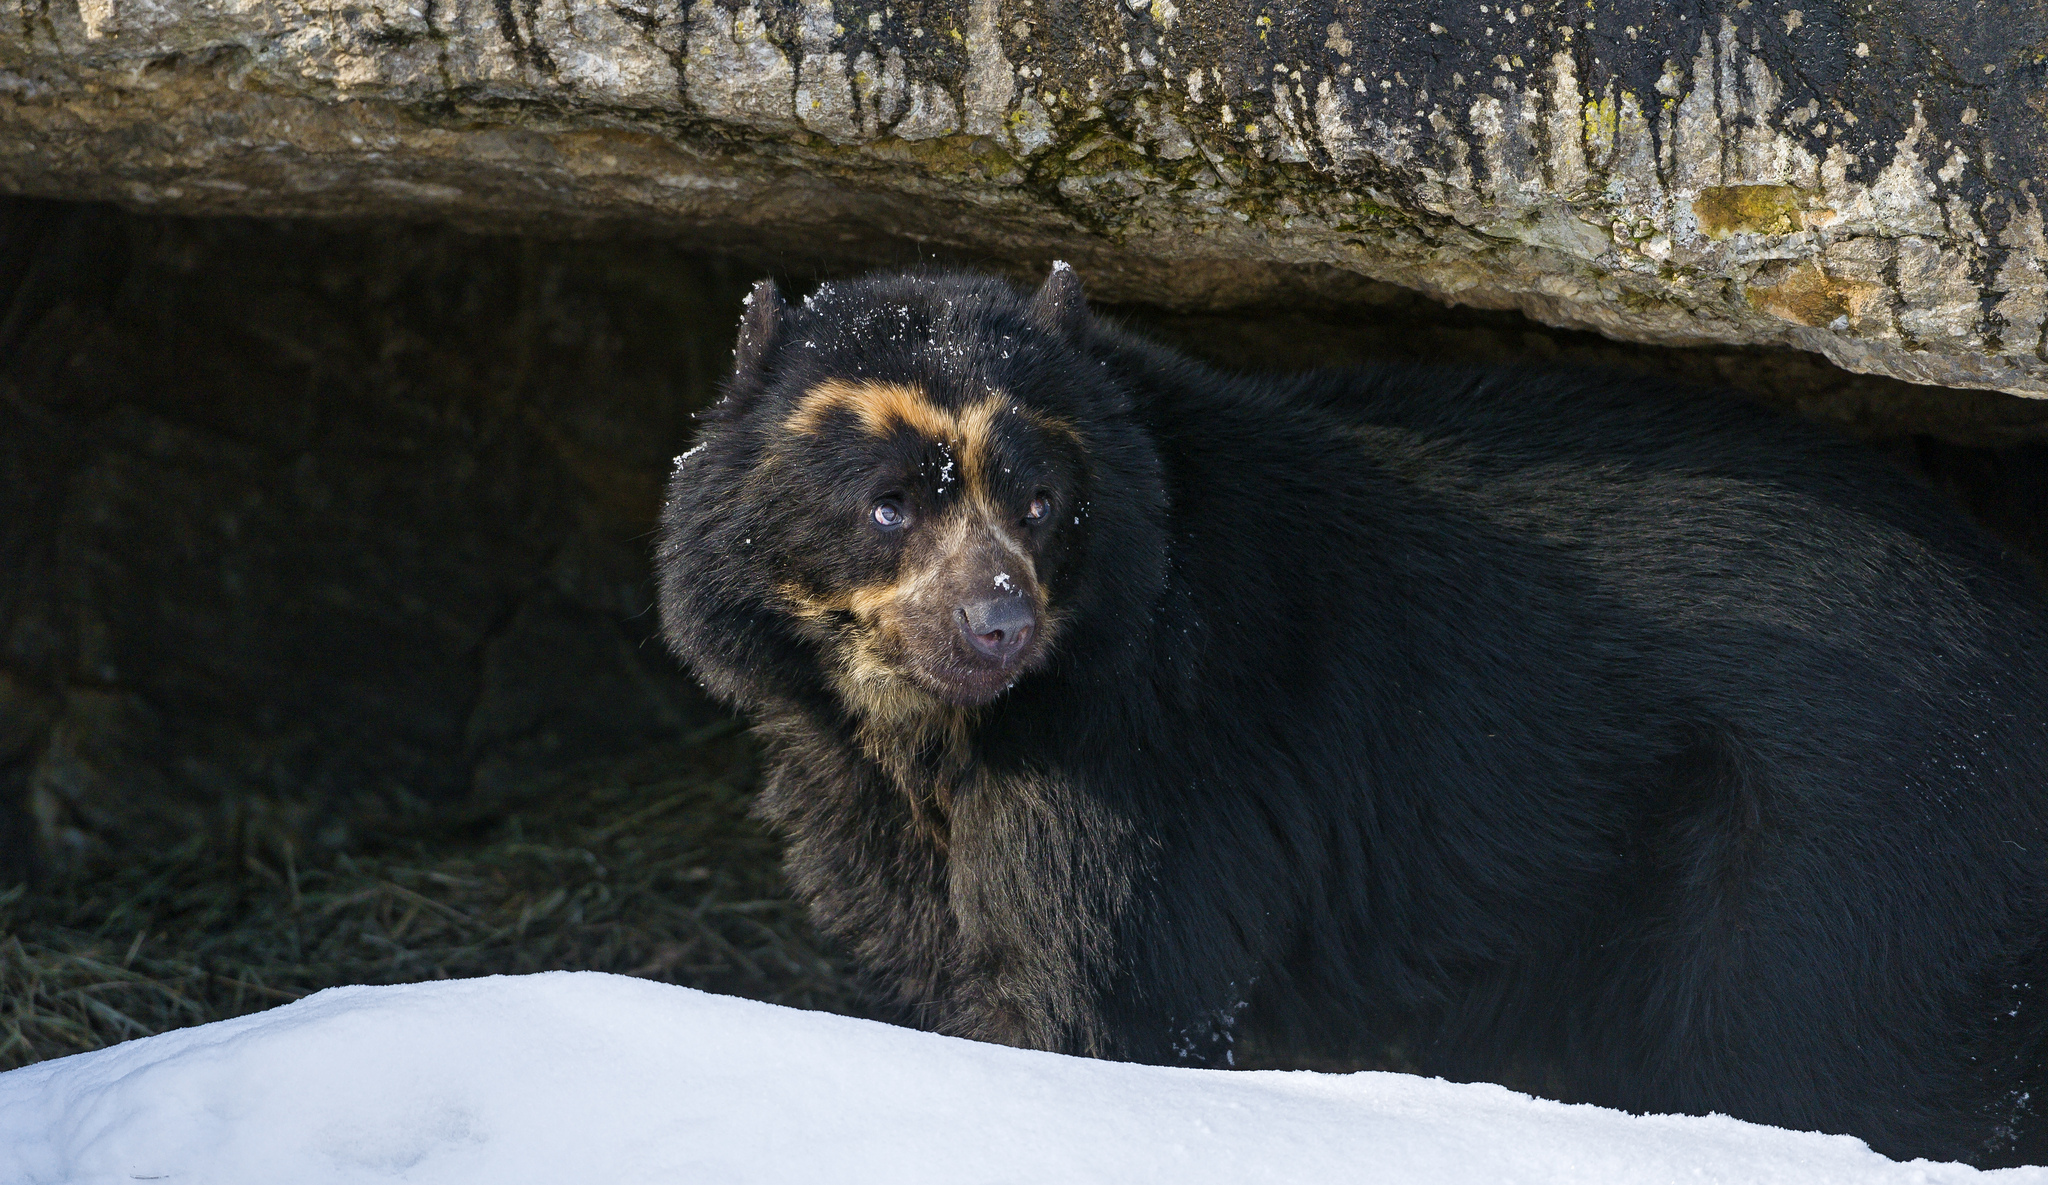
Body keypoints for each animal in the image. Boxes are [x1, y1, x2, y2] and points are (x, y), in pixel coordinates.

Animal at [656, 265, 2048, 1166]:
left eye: (1042, 499)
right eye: (889, 502)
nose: (996, 626)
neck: (929, 731)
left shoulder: (1152, 755)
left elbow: (1097, 976)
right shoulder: (863, 795)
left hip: (1839, 856)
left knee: (1811, 1046)